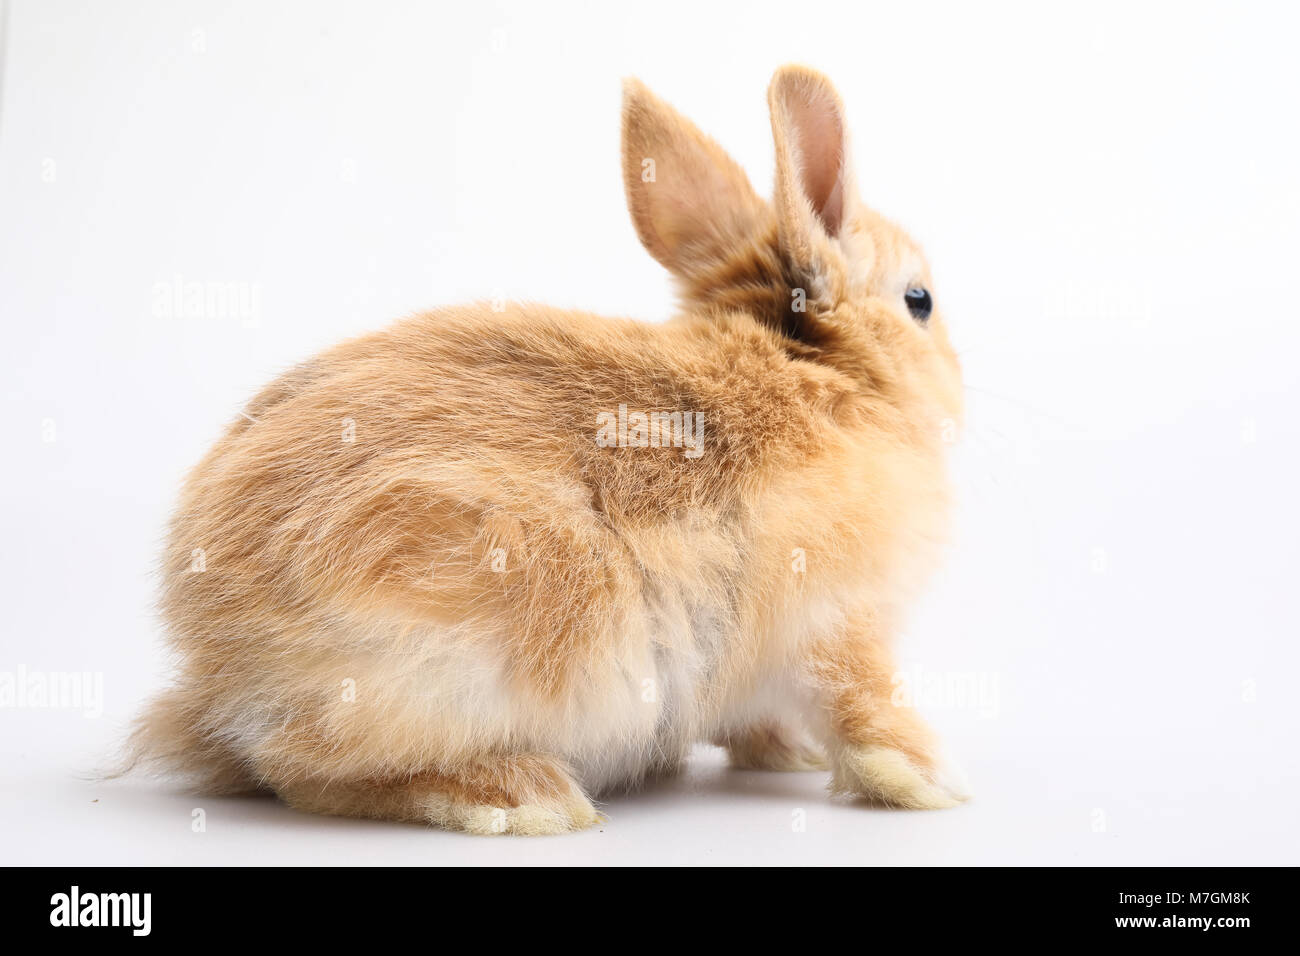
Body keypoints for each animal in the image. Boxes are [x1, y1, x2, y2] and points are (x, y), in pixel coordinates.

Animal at [128, 65, 969, 835]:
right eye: (920, 300)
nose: (960, 387)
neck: (821, 374)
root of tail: (218, 670)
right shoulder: (839, 627)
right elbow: (867, 709)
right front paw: (933, 783)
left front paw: (791, 756)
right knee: (307, 774)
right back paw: (520, 796)